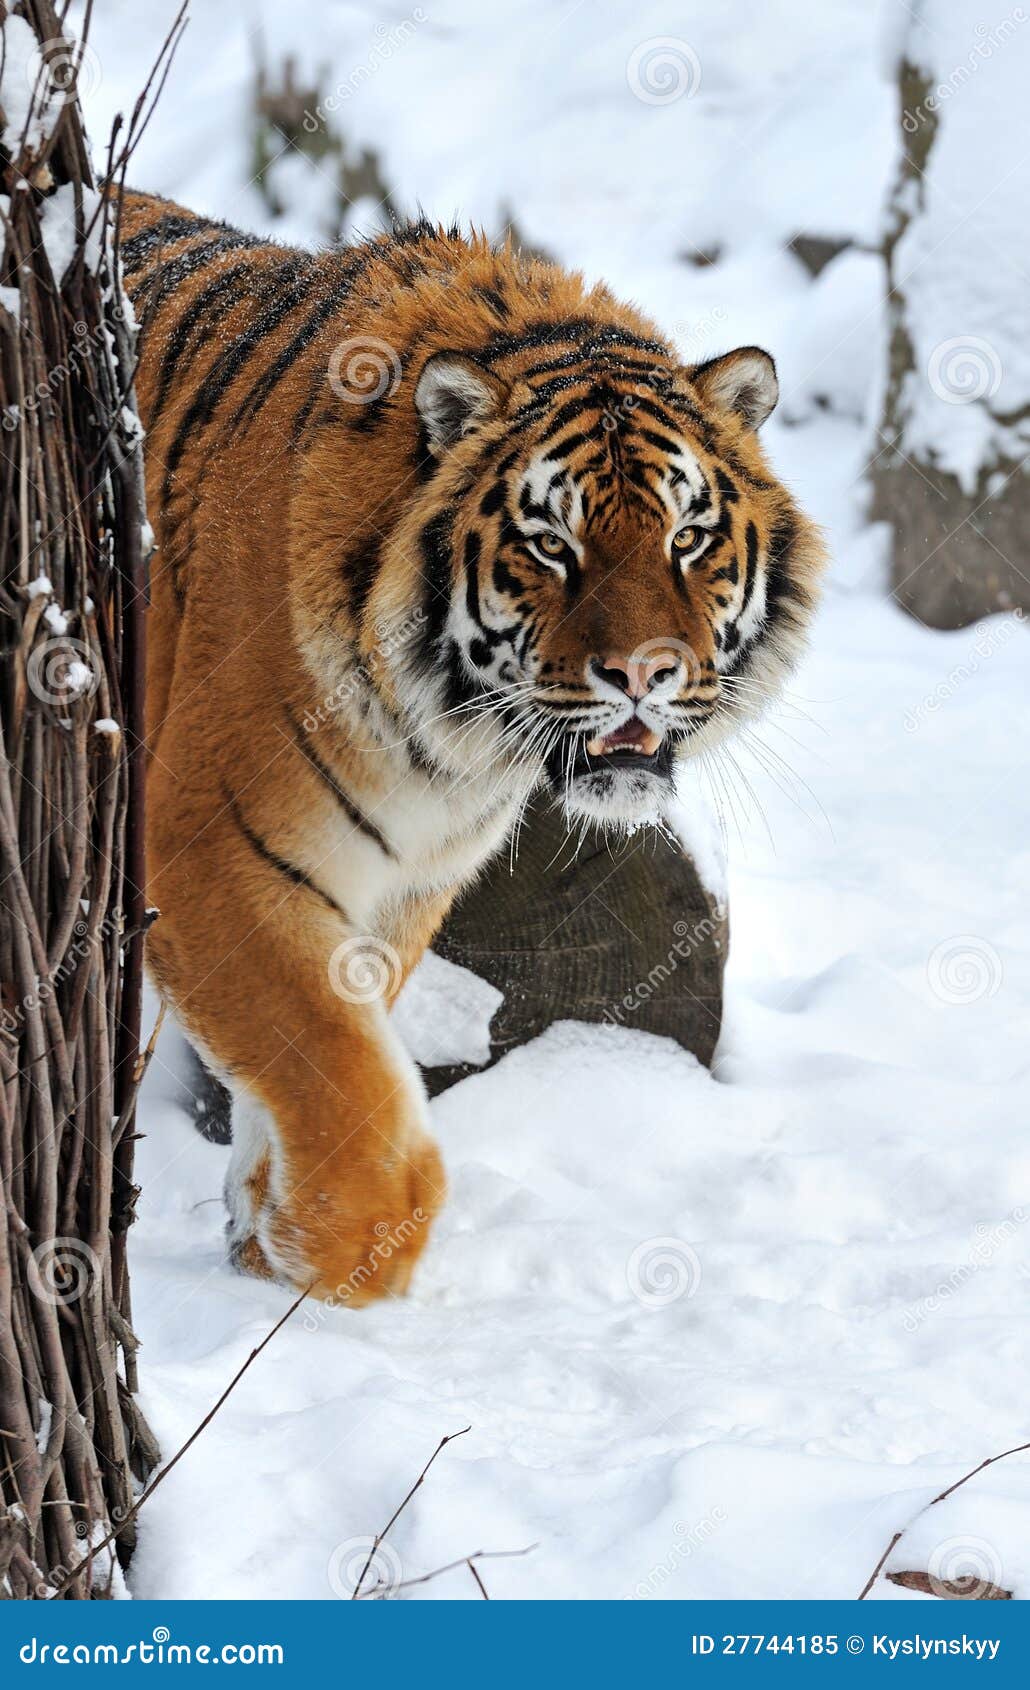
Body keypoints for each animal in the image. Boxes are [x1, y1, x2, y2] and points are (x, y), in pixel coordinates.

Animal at [119, 188, 826, 1305]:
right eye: (551, 544)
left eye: (686, 538)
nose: (646, 671)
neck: (443, 745)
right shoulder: (207, 846)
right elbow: (335, 1069)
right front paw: (336, 1253)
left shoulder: (404, 878)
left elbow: (331, 1051)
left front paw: (264, 1233)